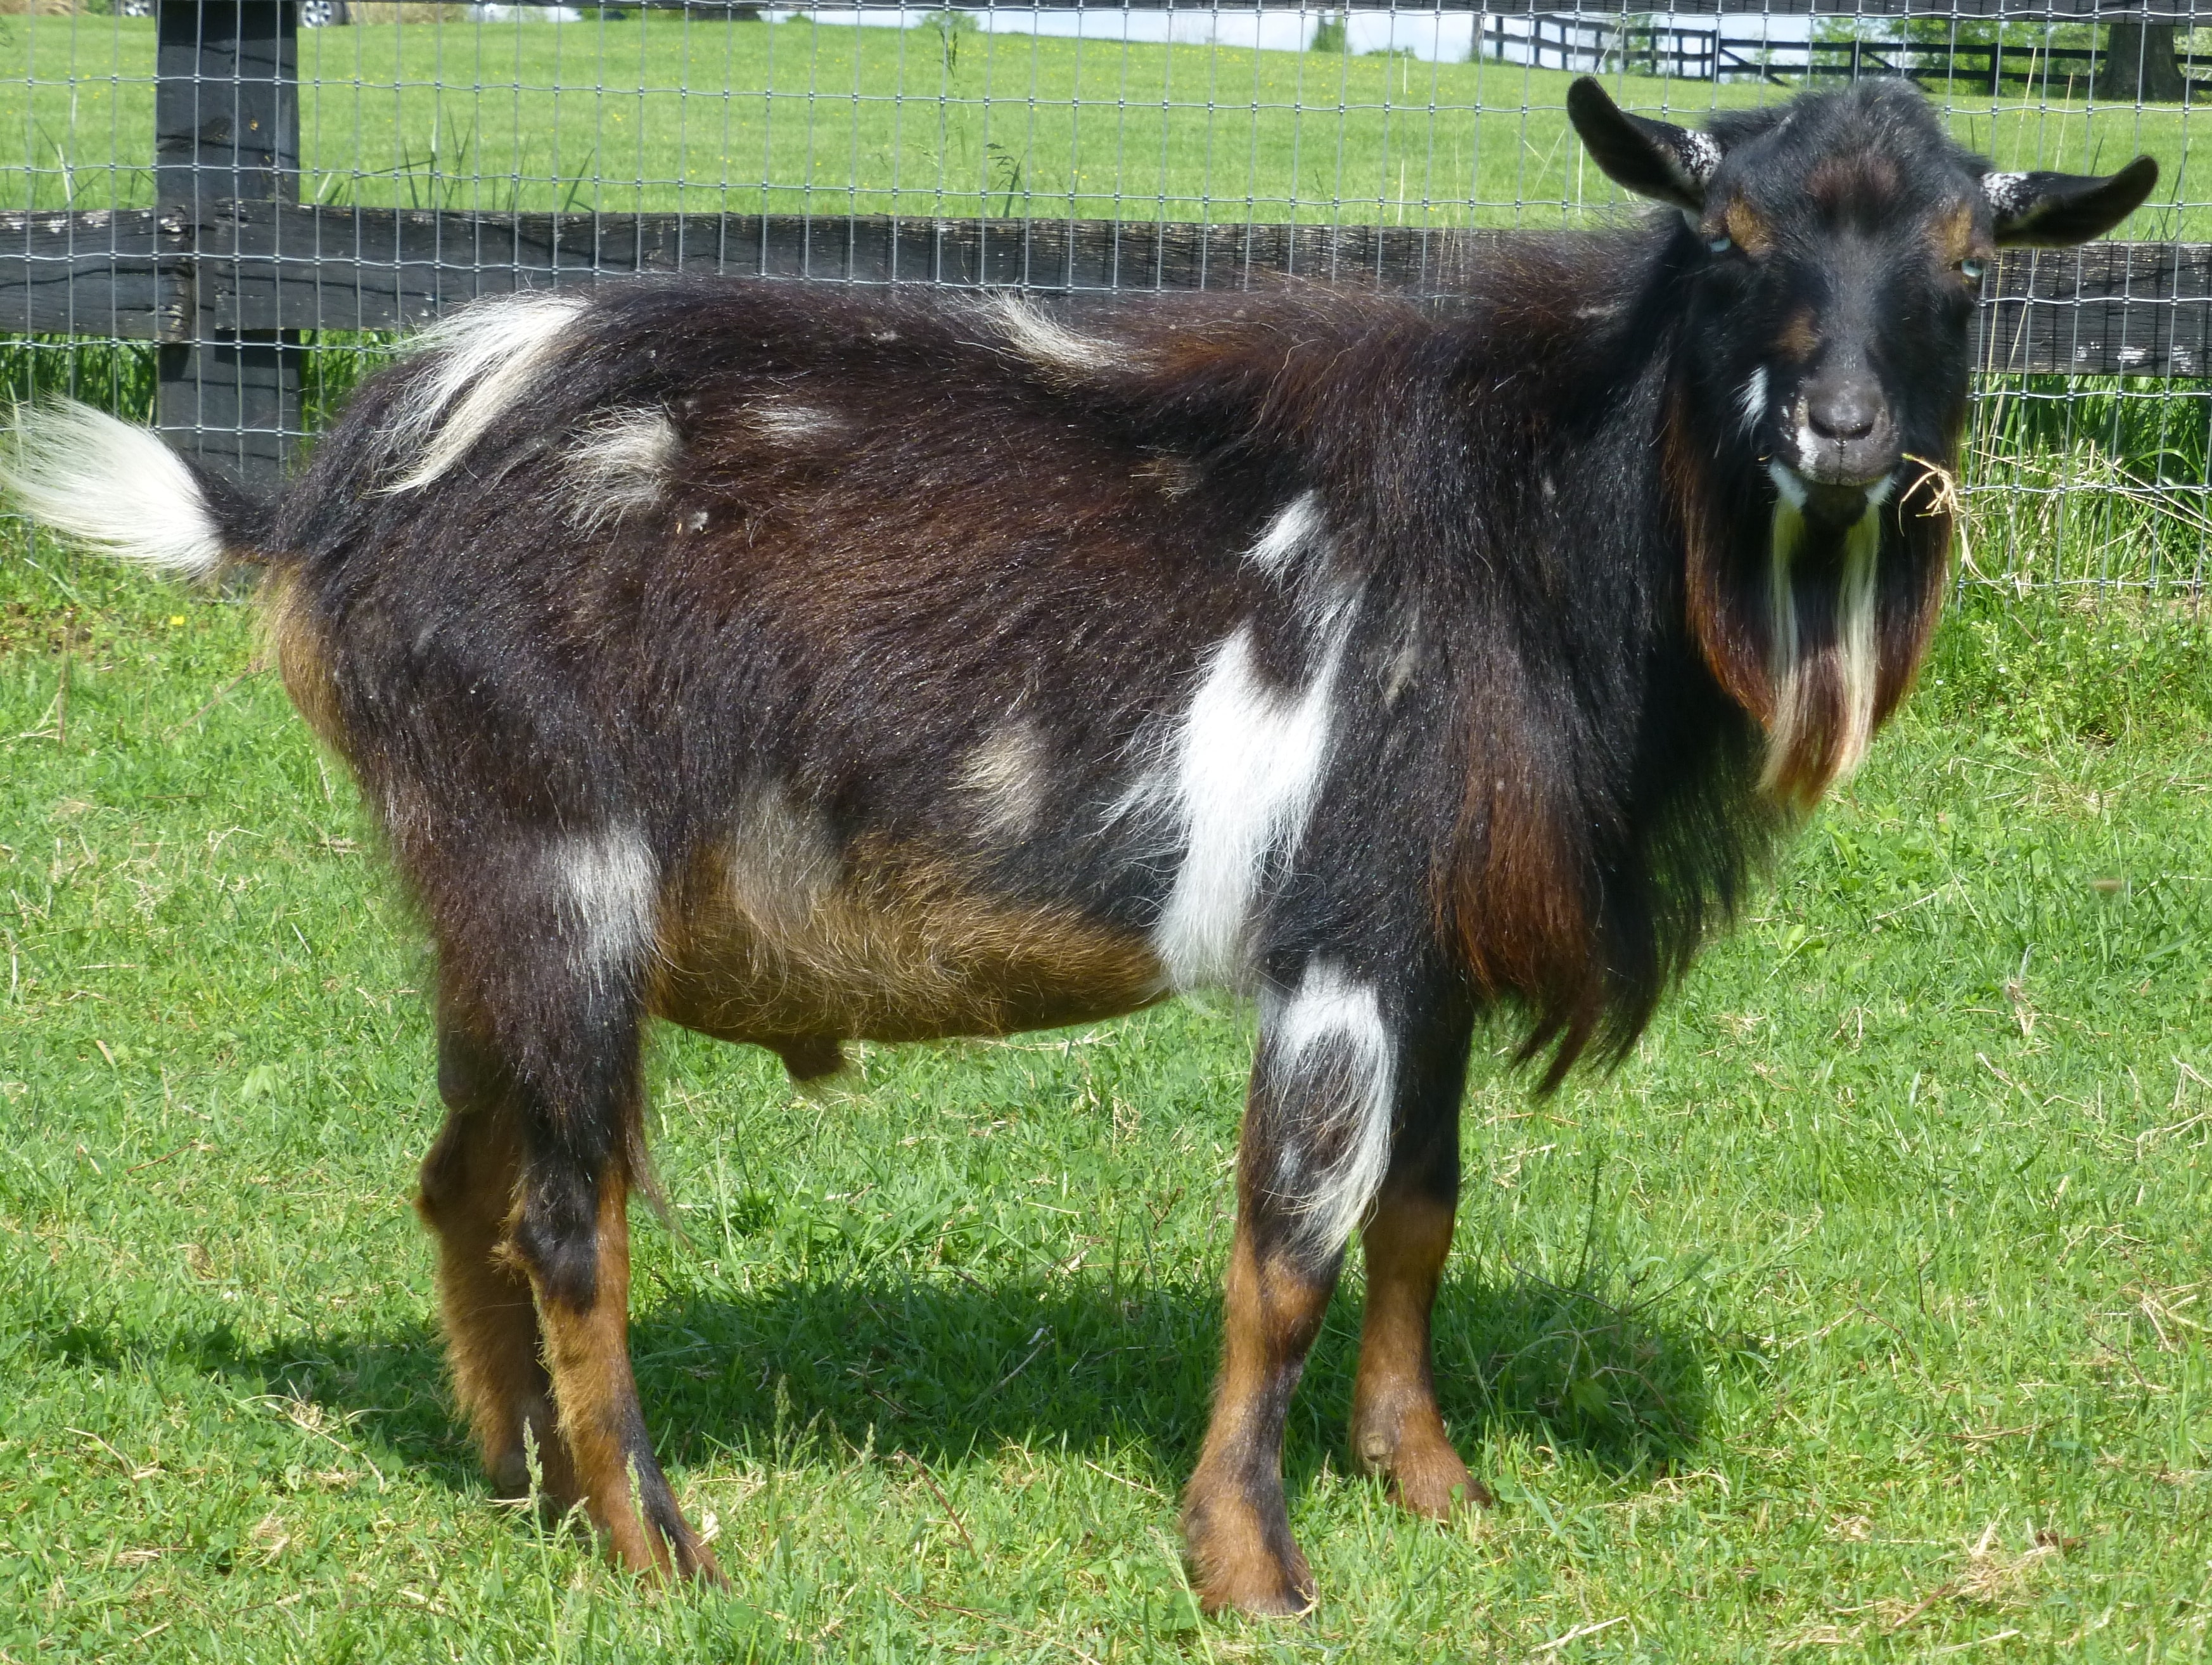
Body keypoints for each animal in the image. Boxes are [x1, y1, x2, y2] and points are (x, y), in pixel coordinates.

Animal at [6, 78, 2151, 1616]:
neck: (1524, 517)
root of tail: (331, 503)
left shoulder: (1429, 940)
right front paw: (1251, 1563)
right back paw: (654, 1539)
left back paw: (523, 1476)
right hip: (558, 869)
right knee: (565, 1209)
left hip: (475, 900)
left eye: (1968, 257)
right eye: (1723, 230)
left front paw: (1434, 1483)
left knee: (461, 1174)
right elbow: (1286, 1246)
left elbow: (1423, 1212)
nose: (1843, 431)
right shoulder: (1333, 928)